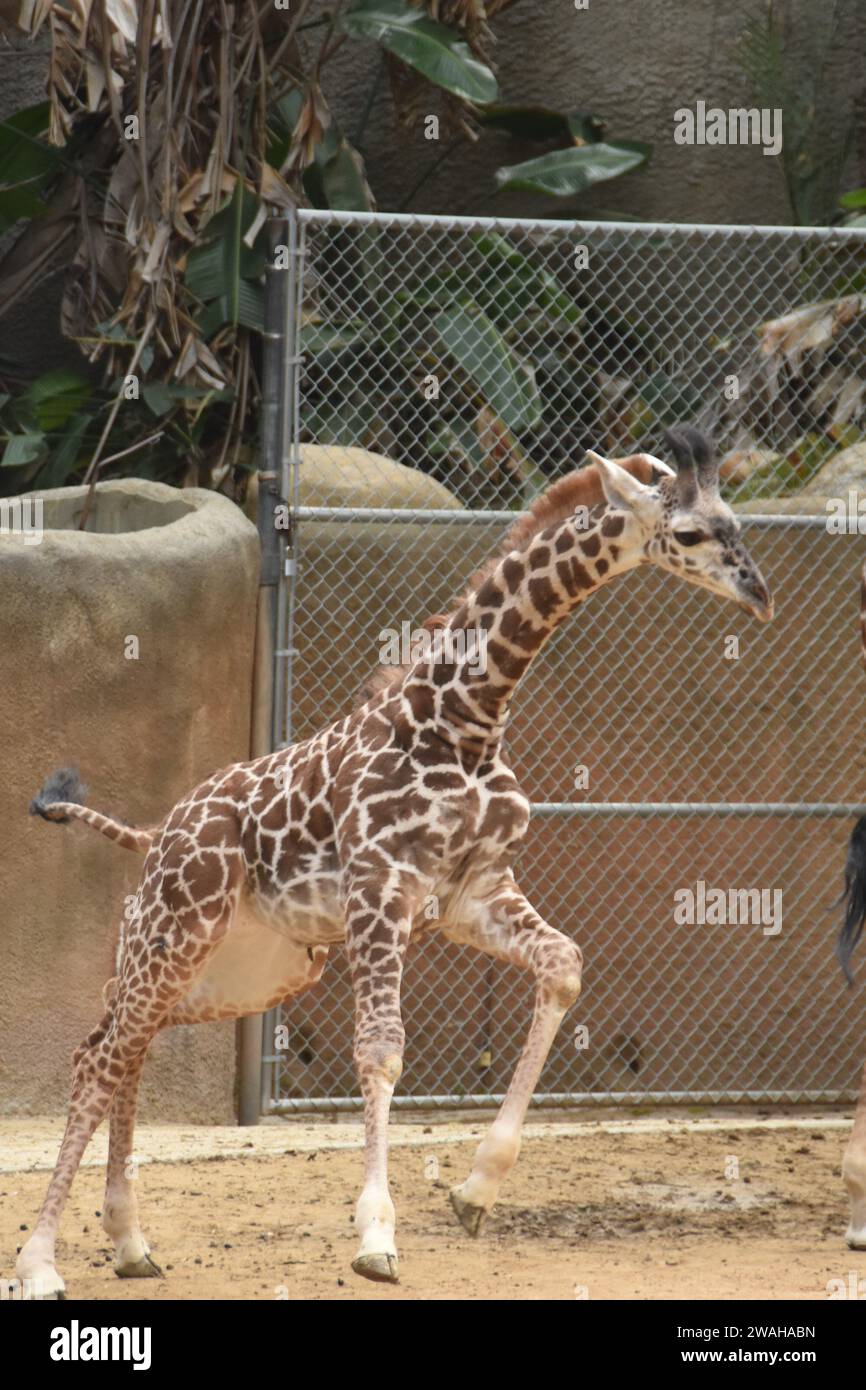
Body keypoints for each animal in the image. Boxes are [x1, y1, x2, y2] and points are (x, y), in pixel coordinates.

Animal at [14, 426, 773, 1296]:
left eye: (737, 522)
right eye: (690, 533)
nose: (760, 595)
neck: (465, 723)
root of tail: (155, 834)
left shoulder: (473, 894)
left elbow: (565, 966)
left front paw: (475, 1190)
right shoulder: (381, 894)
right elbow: (381, 1049)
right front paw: (377, 1235)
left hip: (250, 968)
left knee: (120, 1042)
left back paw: (130, 1241)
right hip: (176, 934)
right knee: (97, 1057)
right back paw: (41, 1261)